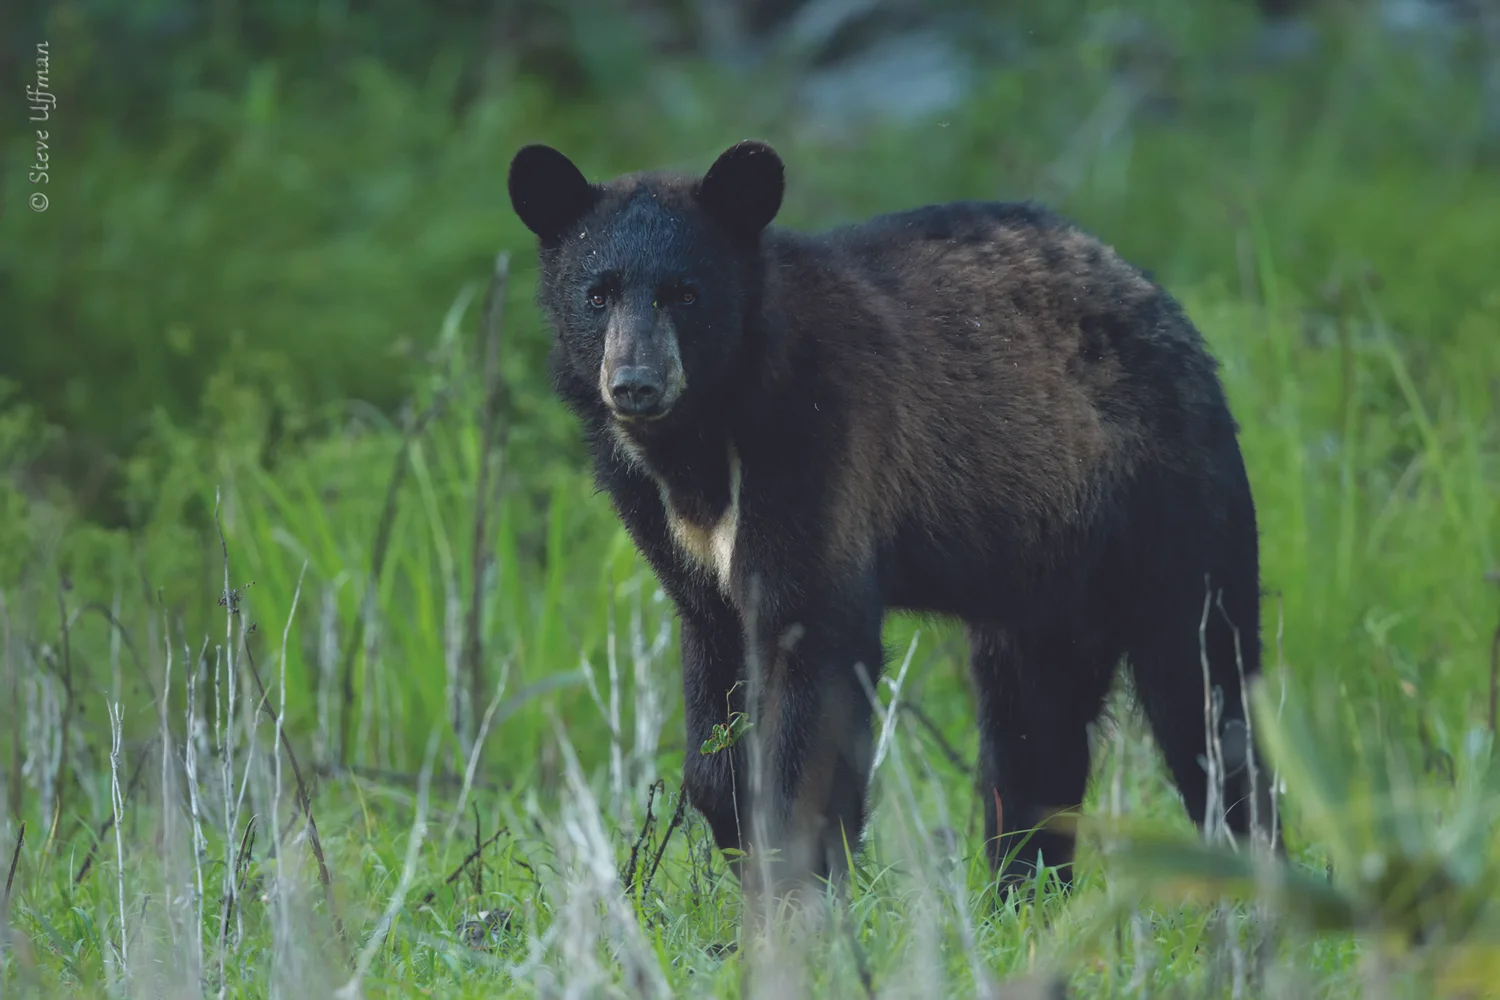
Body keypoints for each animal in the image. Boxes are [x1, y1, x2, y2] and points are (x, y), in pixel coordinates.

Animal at [507, 138, 1278, 897]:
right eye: (598, 292)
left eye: (686, 293)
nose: (635, 383)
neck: (705, 438)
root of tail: (1157, 296)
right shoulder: (670, 534)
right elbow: (714, 675)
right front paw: (738, 827)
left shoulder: (820, 449)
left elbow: (814, 656)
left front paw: (798, 876)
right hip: (1042, 569)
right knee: (1035, 724)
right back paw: (1022, 890)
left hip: (1165, 504)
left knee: (1205, 693)